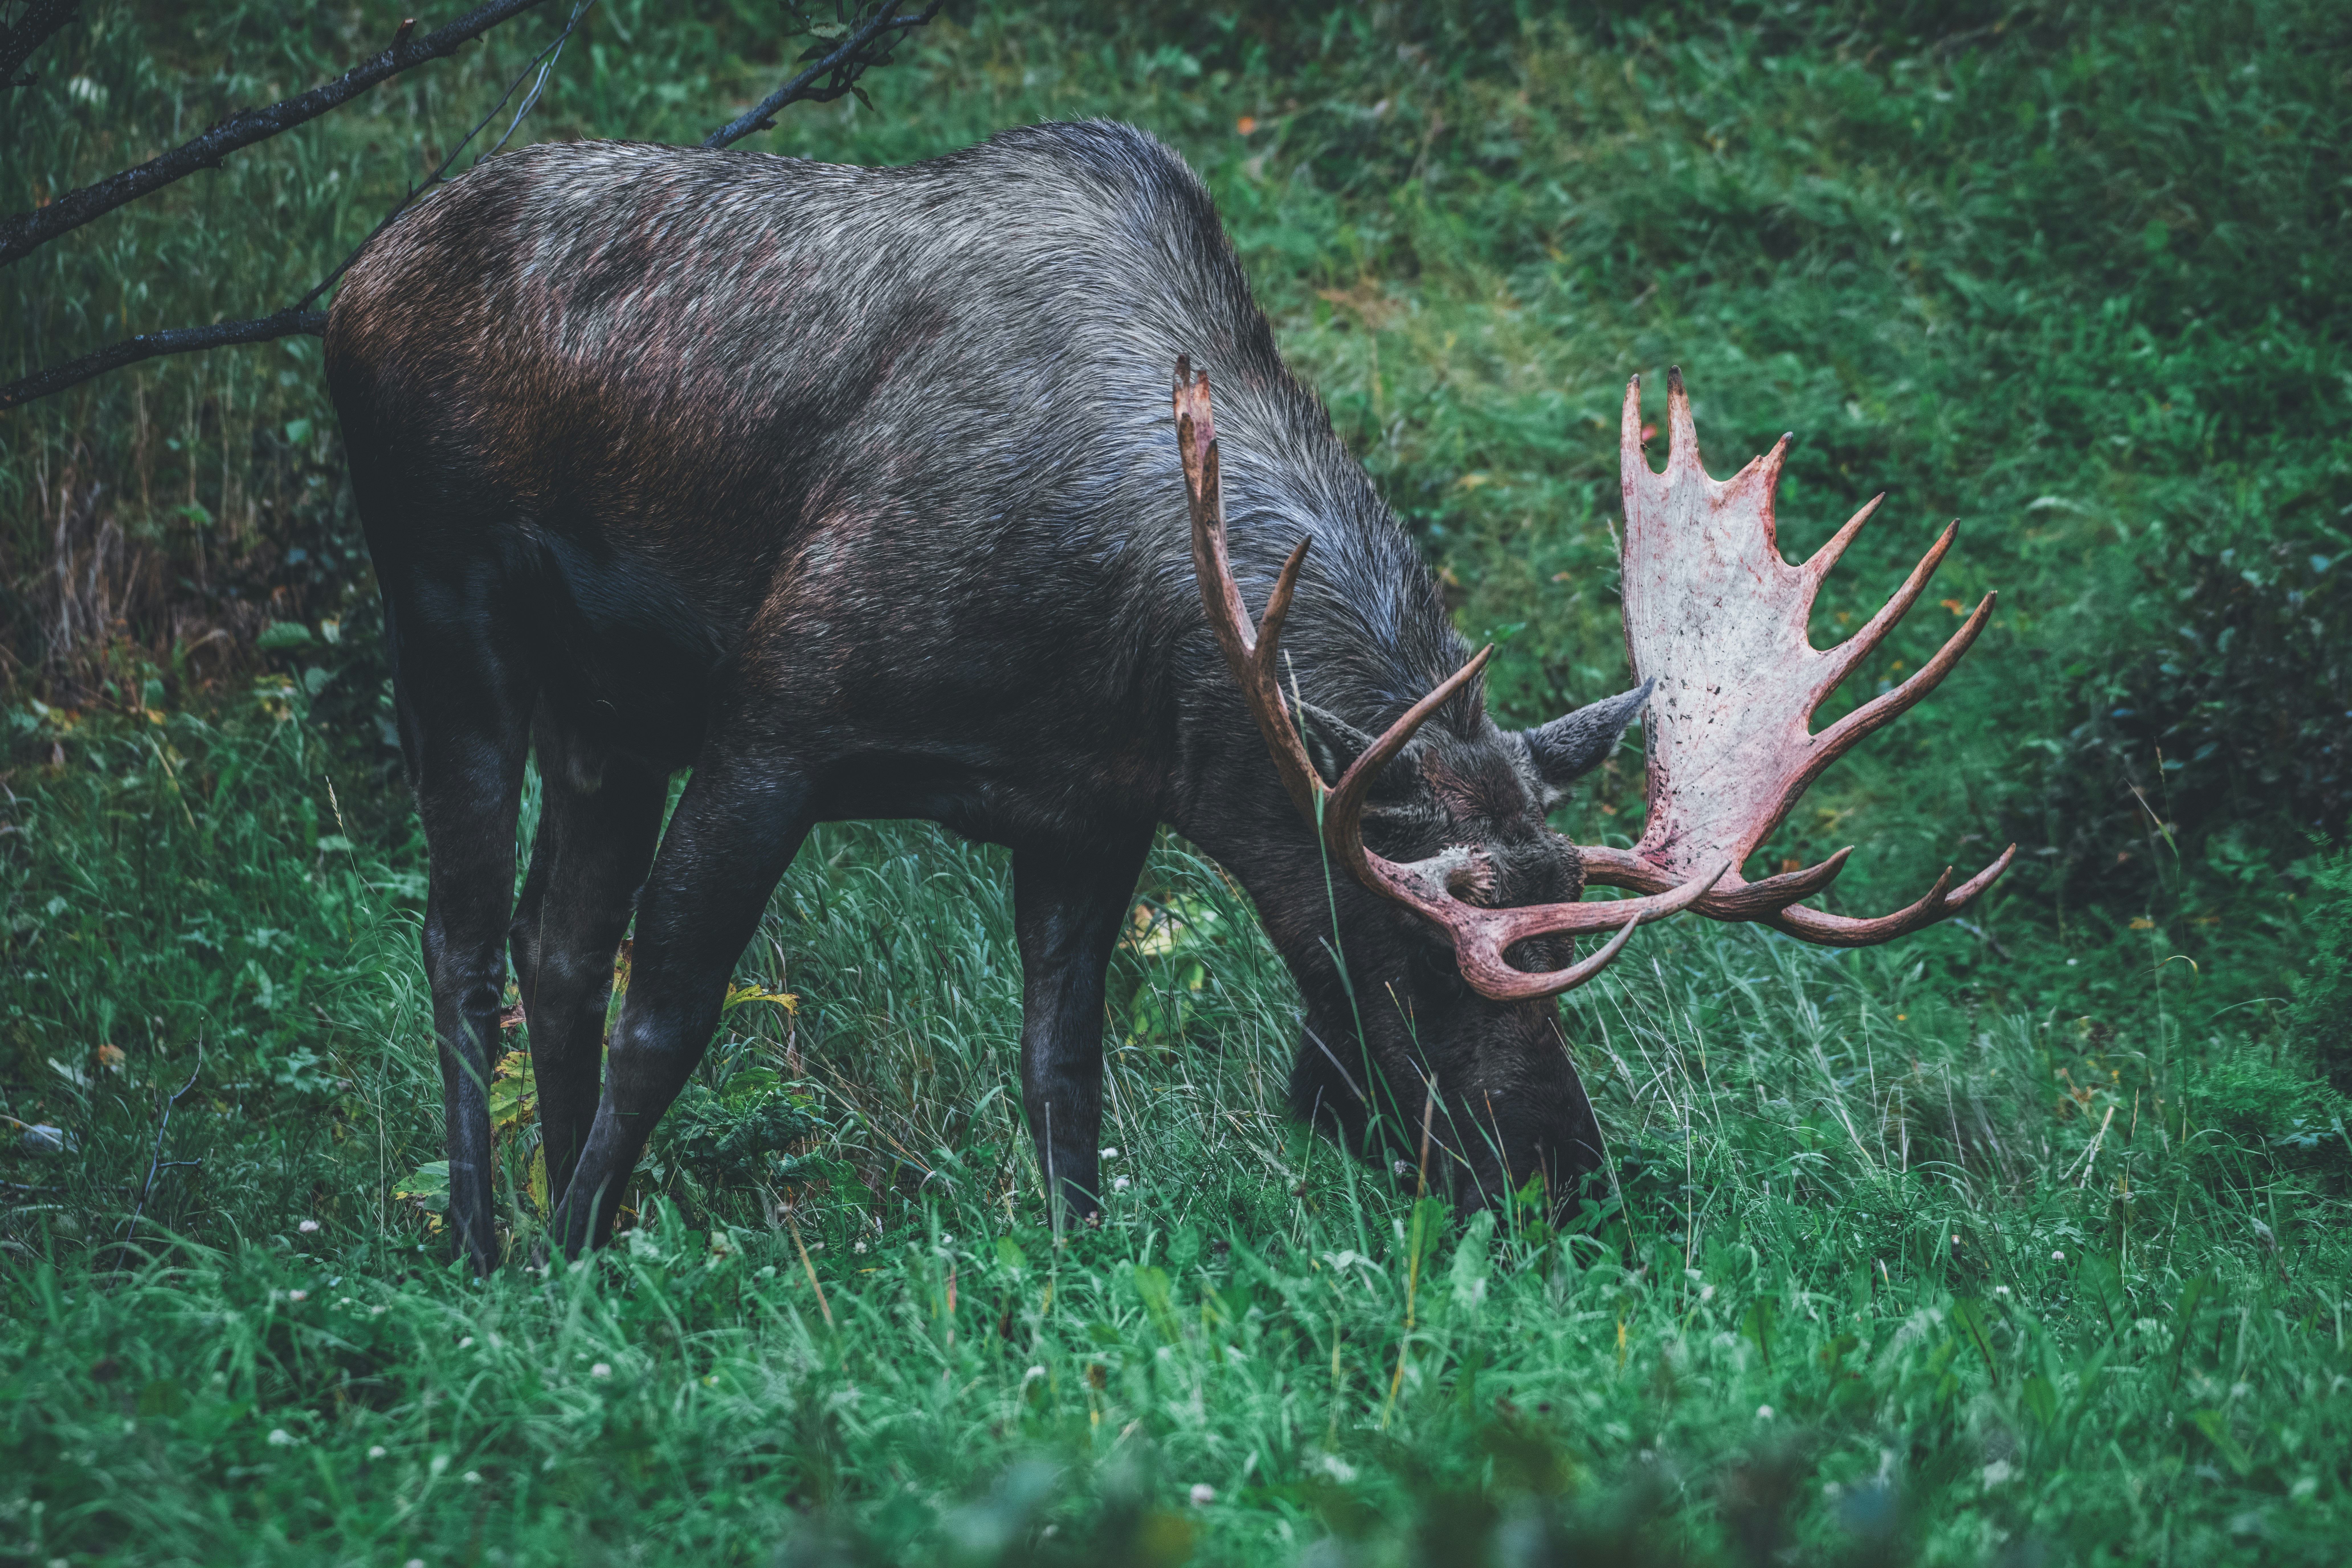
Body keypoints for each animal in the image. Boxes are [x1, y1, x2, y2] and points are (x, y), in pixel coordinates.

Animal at [324, 121, 2009, 1273]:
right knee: (462, 939)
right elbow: (671, 1013)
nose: (1562, 1182)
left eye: (1561, 953)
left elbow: (1064, 1071)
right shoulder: (776, 723)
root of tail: (355, 276)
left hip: (610, 715)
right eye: (1405, 957)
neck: (1129, 631)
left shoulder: (1090, 810)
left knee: (553, 940)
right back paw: (494, 1241)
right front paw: (574, 1263)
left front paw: (1073, 1265)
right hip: (446, 616)